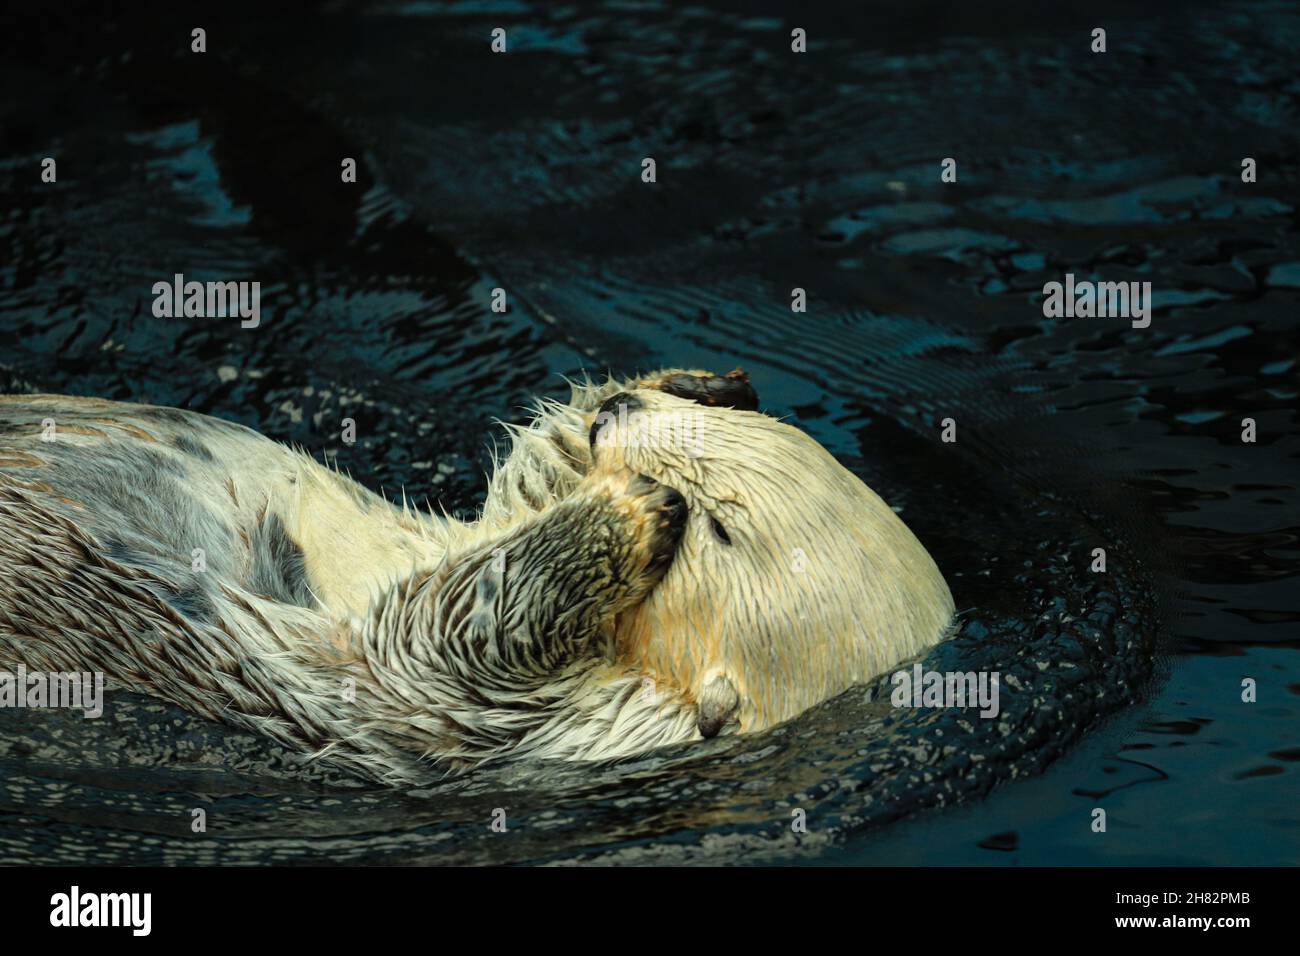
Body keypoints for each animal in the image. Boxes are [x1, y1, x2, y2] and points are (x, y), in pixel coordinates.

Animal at [0, 369, 954, 783]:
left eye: (720, 529)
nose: (627, 415)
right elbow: (531, 478)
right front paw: (692, 386)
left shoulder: (504, 719)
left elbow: (455, 629)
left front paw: (631, 510)